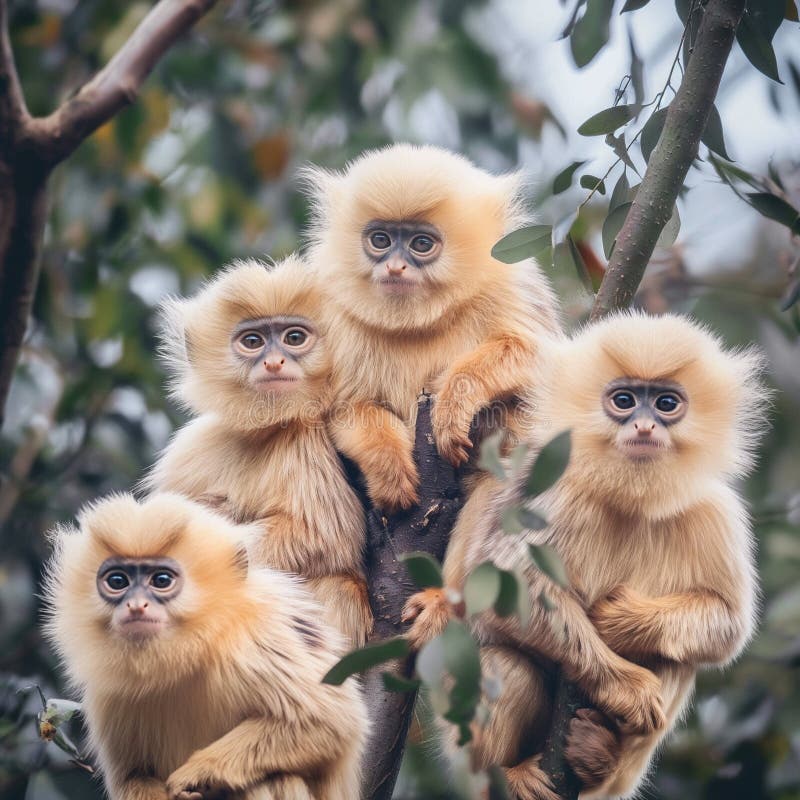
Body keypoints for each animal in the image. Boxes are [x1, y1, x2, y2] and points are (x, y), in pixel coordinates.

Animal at [42, 492, 368, 800]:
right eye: (118, 581)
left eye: (161, 580)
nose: (136, 606)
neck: (191, 651)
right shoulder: (108, 694)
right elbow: (134, 777)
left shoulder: (255, 640)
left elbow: (328, 721)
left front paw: (196, 773)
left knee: (274, 778)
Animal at [142, 256, 372, 648]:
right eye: (253, 341)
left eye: (294, 338)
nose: (274, 362)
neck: (265, 431)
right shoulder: (190, 449)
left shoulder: (306, 441)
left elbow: (324, 537)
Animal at [302, 143, 561, 513]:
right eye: (380, 240)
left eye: (421, 244)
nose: (395, 267)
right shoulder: (329, 309)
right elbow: (343, 408)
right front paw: (391, 471)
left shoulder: (509, 283)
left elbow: (542, 357)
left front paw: (452, 406)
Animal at [402, 311, 764, 799]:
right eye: (624, 400)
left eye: (667, 403)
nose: (645, 426)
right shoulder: (557, 488)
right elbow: (501, 588)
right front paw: (628, 688)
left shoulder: (716, 513)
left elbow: (728, 625)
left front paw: (620, 618)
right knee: (506, 665)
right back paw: (512, 776)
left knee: (677, 655)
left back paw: (596, 755)